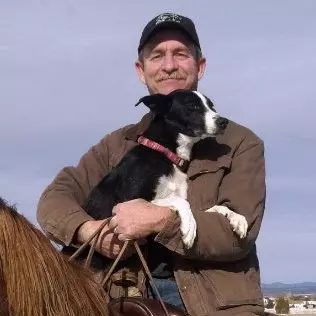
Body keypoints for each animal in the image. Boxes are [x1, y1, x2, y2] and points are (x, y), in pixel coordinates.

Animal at [85, 89, 248, 249]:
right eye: (192, 105)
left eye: (211, 106)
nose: (224, 122)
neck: (165, 154)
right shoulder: (127, 202)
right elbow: (180, 201)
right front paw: (190, 227)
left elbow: (213, 207)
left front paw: (236, 217)